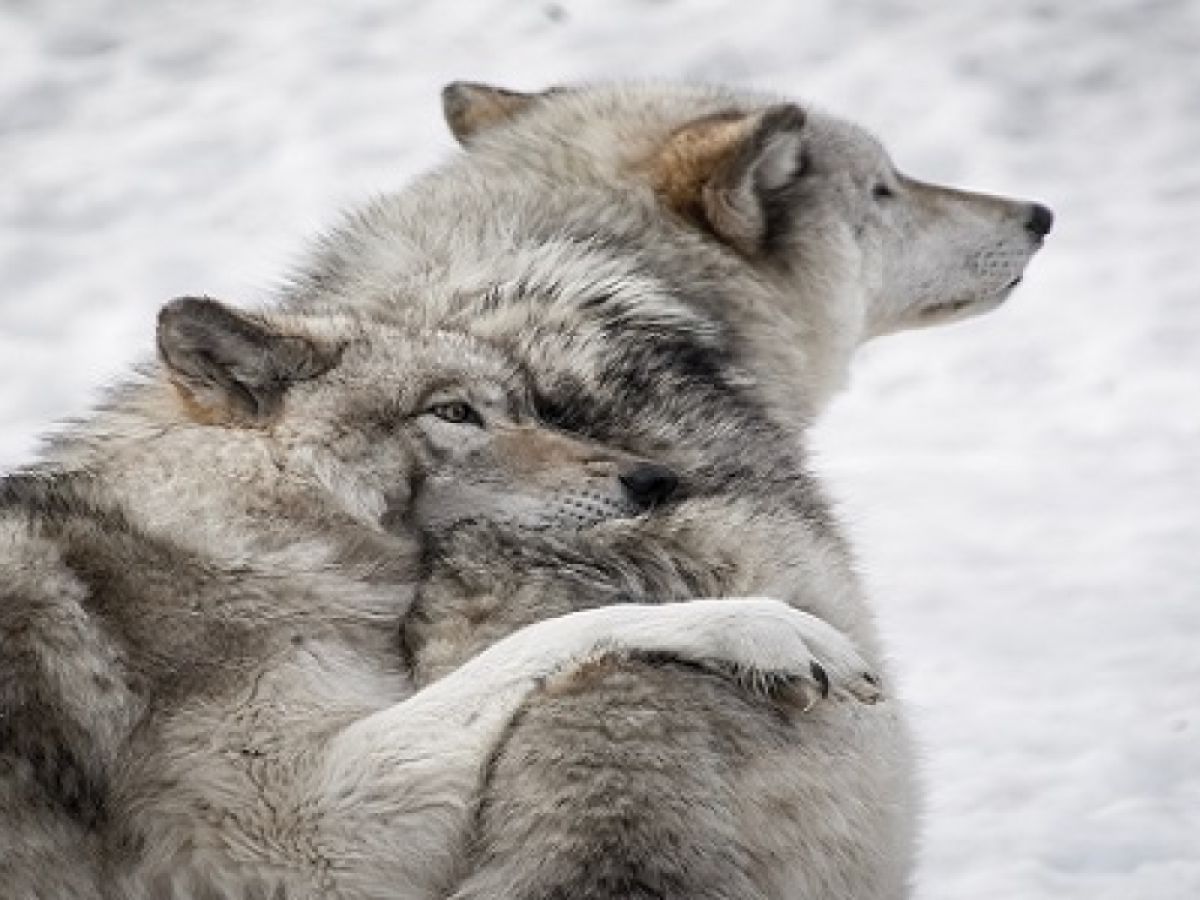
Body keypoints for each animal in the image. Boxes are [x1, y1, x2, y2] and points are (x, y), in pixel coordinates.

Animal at [0, 296, 878, 898]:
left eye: (527, 407)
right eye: (454, 412)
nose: (654, 479)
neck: (230, 528)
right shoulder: (306, 836)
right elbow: (564, 630)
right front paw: (771, 630)